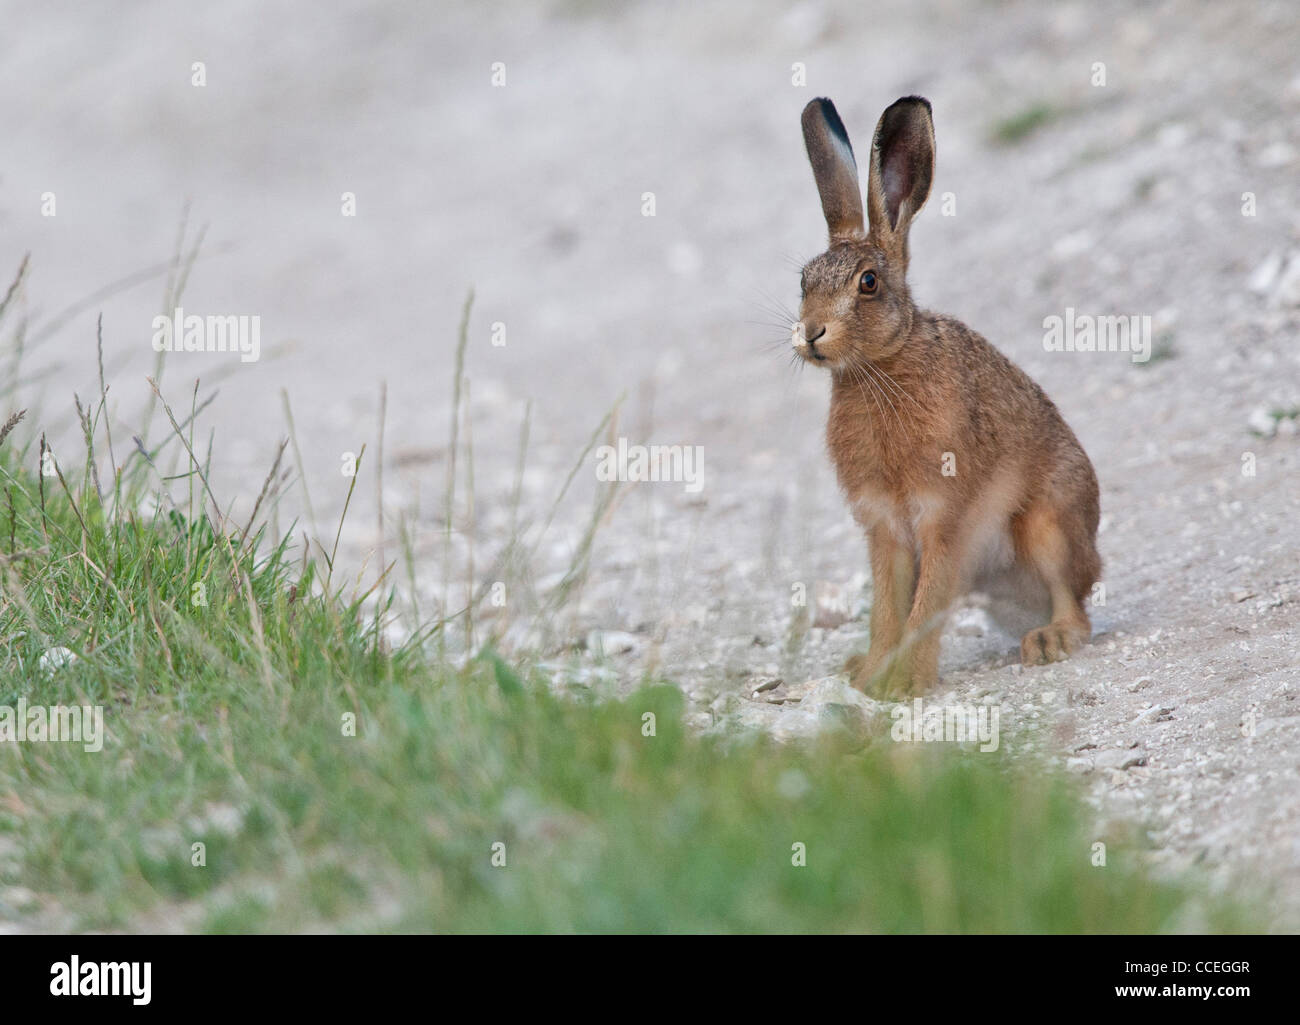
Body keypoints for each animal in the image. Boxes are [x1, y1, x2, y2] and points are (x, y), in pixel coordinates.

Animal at [792, 95, 1101, 695]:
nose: (811, 333)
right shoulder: (884, 530)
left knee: (1075, 601)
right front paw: (872, 675)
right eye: (803, 281)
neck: (880, 368)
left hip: (1049, 526)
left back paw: (1049, 640)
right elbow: (888, 611)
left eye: (868, 283)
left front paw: (904, 684)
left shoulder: (944, 517)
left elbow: (926, 604)